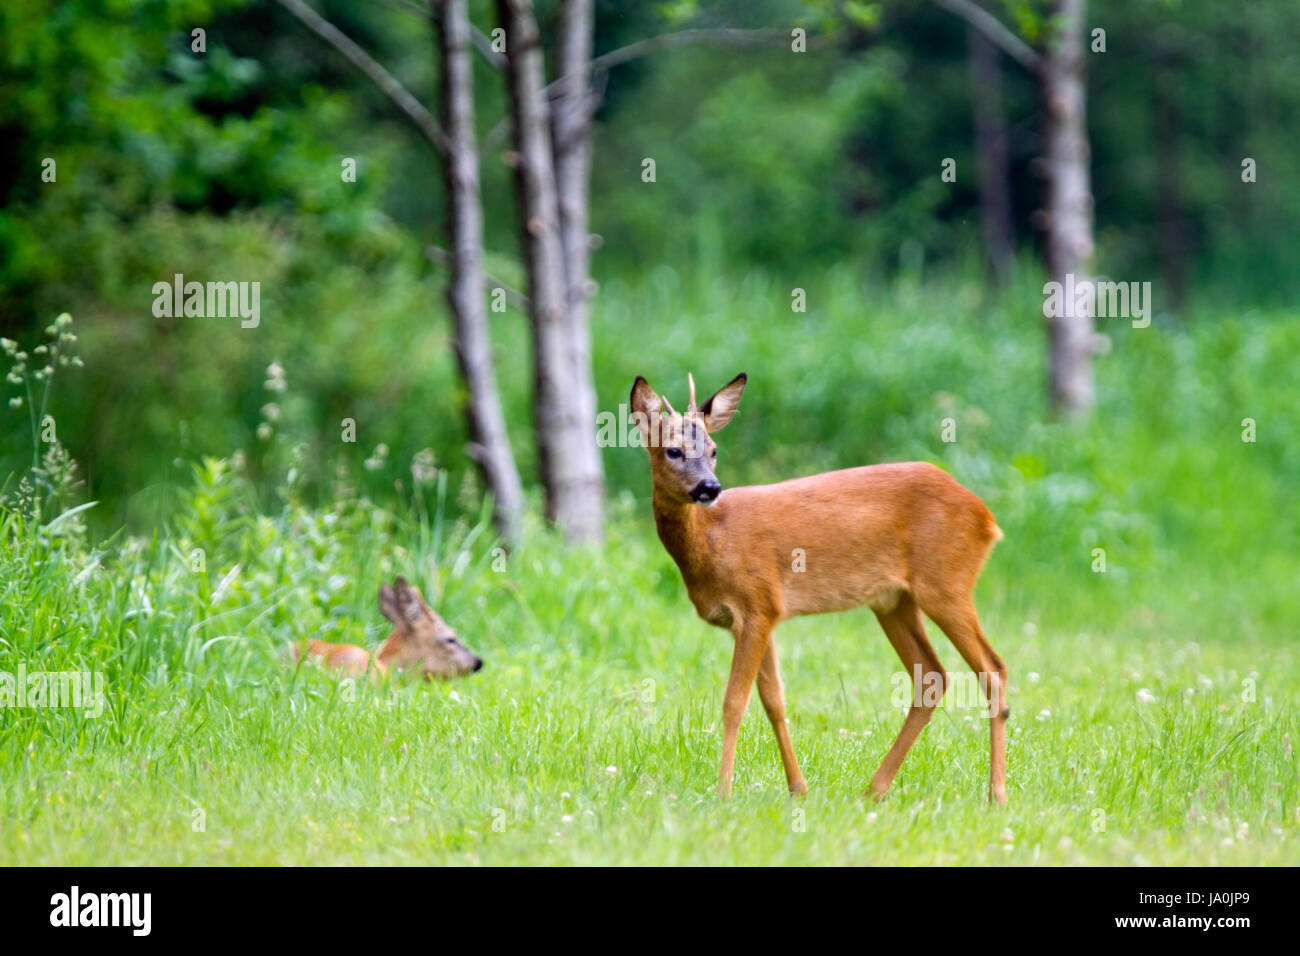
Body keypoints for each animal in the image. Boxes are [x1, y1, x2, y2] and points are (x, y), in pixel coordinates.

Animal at [629, 372, 1009, 804]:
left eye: (713, 449)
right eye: (673, 450)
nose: (710, 487)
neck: (712, 540)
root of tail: (987, 517)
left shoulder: (757, 605)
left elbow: (734, 702)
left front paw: (723, 792)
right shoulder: (763, 615)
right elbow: (774, 701)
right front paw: (798, 787)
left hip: (947, 583)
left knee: (993, 669)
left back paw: (996, 793)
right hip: (894, 600)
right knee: (932, 675)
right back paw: (874, 789)